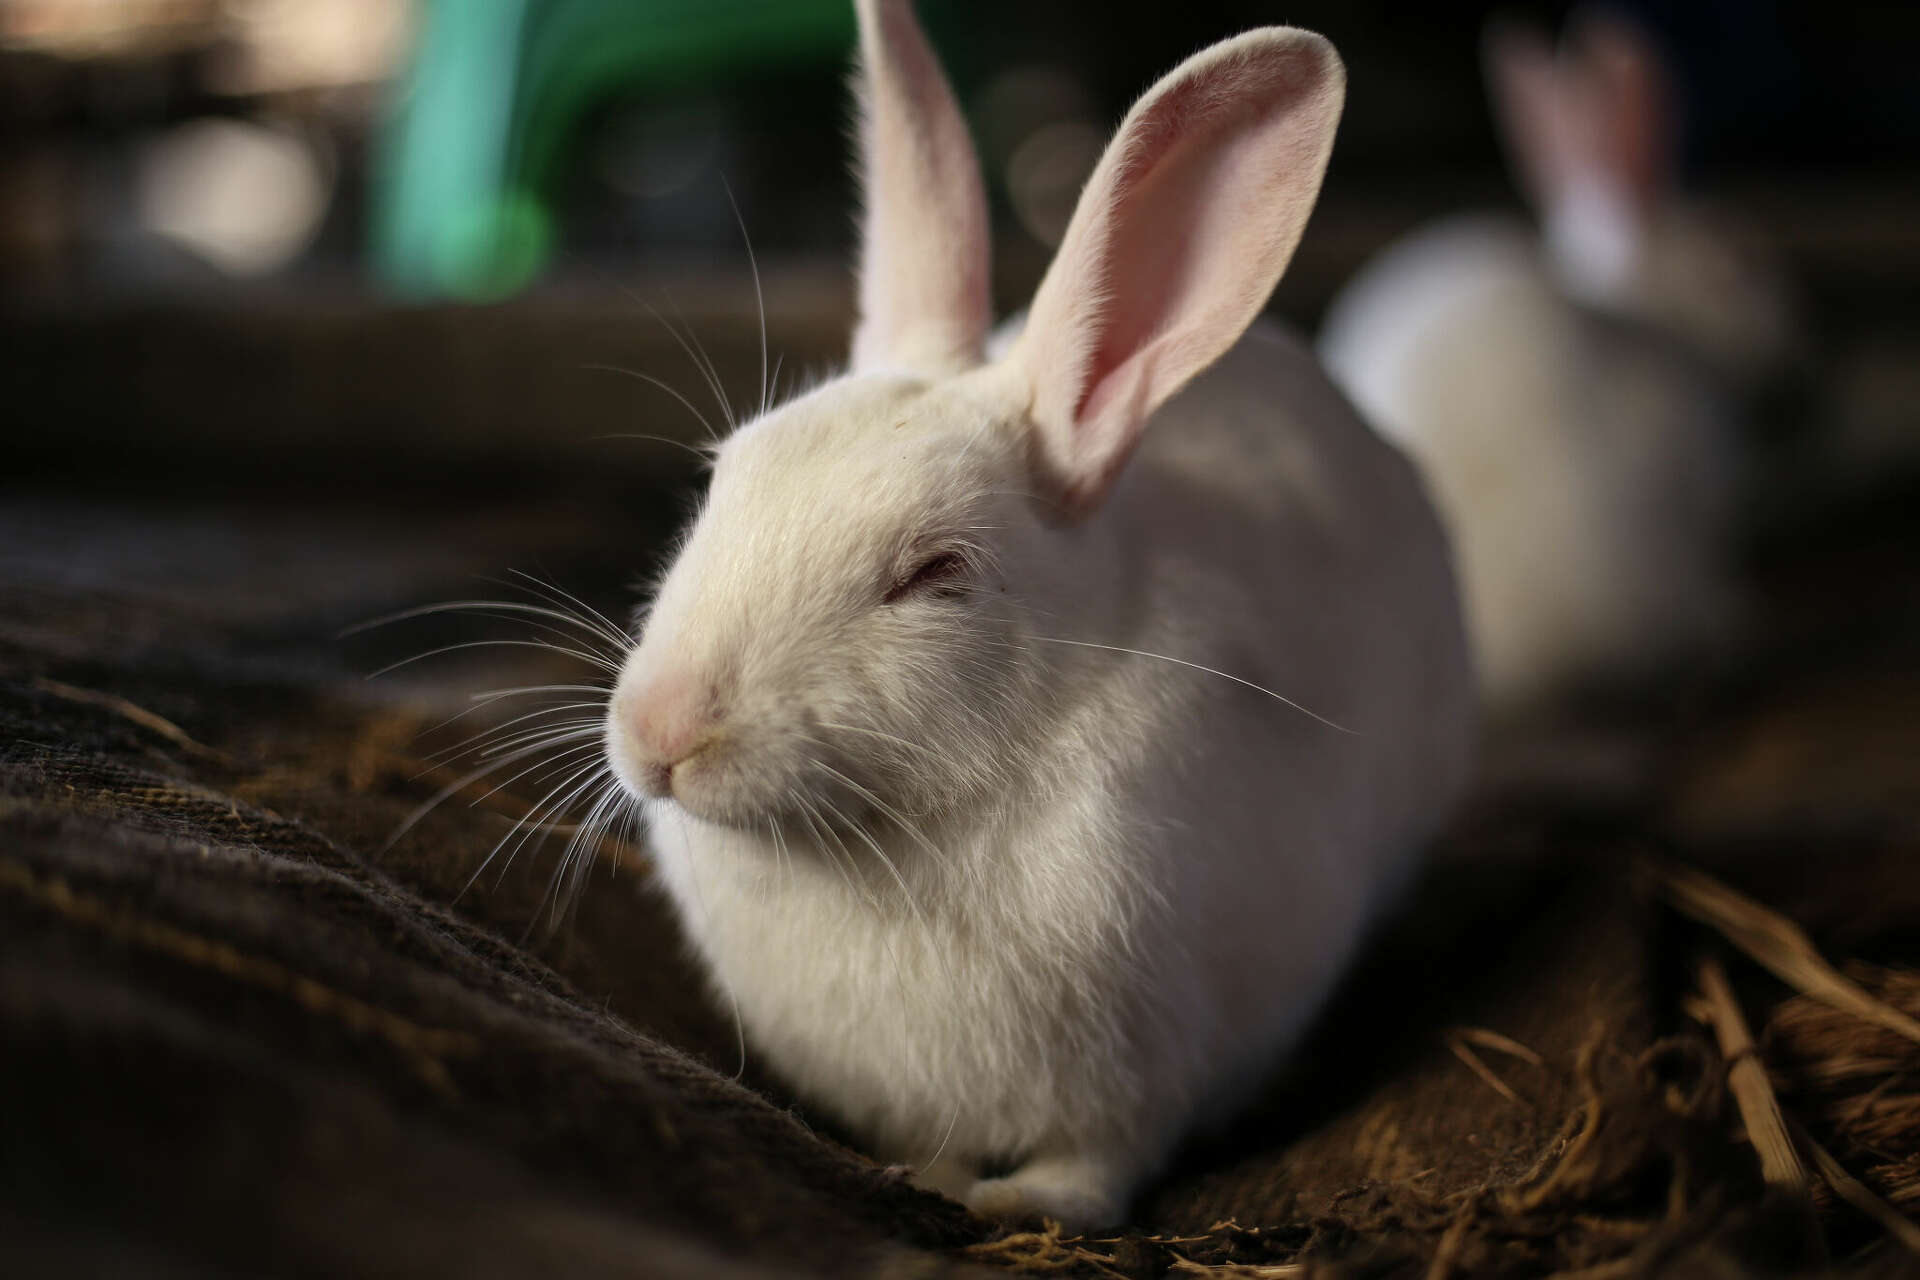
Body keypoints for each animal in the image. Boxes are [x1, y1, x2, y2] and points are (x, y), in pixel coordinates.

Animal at [602, 0, 1475, 1232]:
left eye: (932, 573)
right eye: (724, 477)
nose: (661, 733)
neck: (897, 831)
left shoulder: (1148, 1078)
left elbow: (1096, 1171)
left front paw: (1012, 1203)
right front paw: (927, 1173)